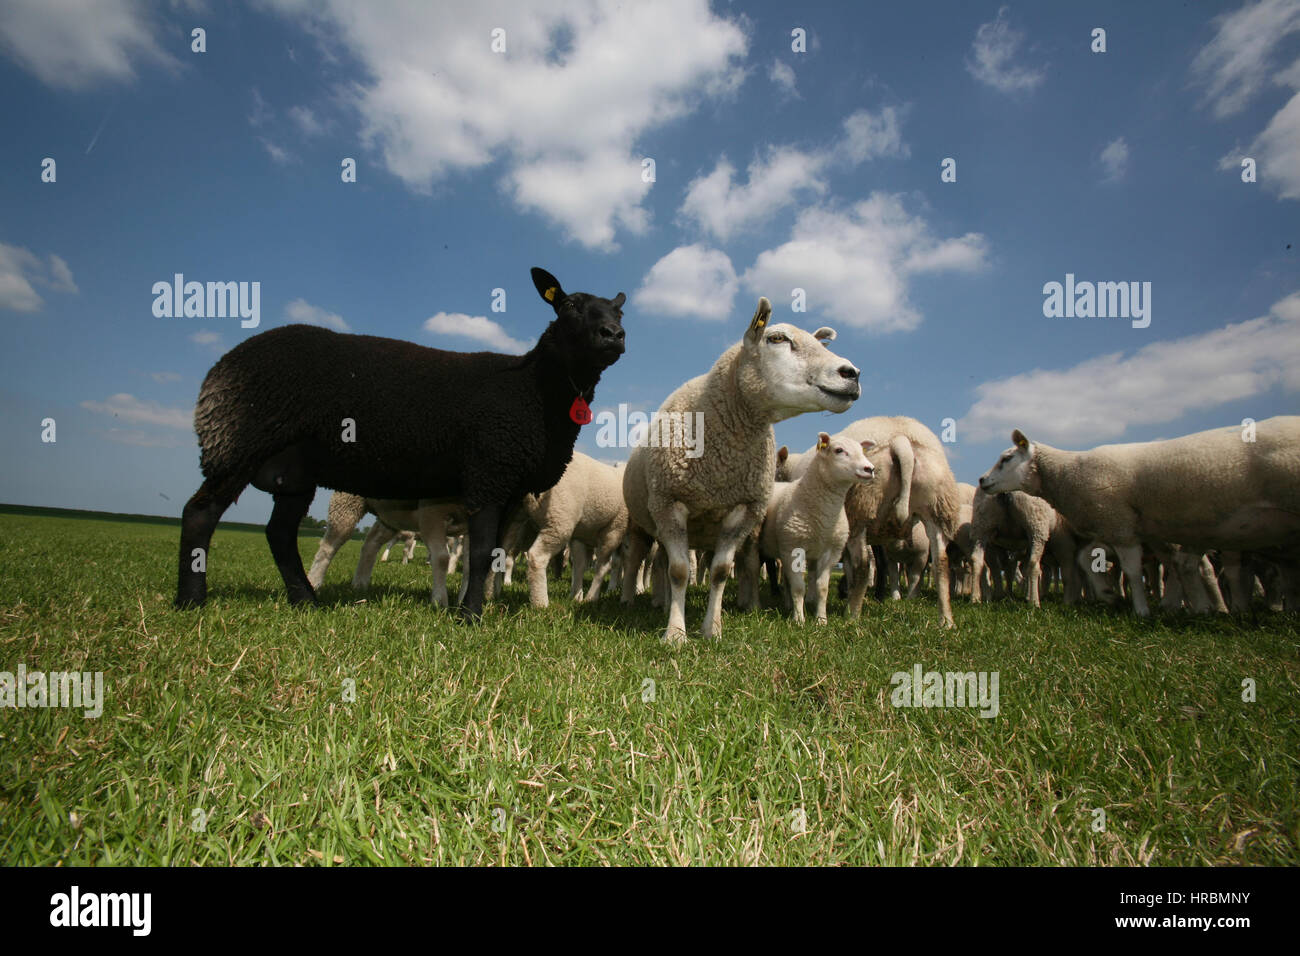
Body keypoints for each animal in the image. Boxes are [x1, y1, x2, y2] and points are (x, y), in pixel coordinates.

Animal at [175, 268, 625, 619]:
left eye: (619, 310)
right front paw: (470, 616)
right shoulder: (489, 471)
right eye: (570, 305)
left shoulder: (510, 489)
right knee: (199, 515)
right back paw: (191, 601)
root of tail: (222, 365)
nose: (614, 335)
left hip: (292, 472)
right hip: (237, 443)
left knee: (280, 534)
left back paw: (305, 601)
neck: (534, 387)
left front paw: (475, 604)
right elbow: (480, 553)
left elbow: (492, 554)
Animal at [739, 431, 874, 623]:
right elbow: (798, 586)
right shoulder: (793, 546)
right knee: (752, 571)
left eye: (862, 451)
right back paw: (754, 605)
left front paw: (821, 620)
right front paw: (799, 621)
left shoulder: (831, 552)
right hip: (754, 540)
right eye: (839, 450)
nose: (870, 469)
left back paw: (787, 605)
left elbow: (822, 588)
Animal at [978, 417, 1300, 616]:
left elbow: (1129, 570)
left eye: (1006, 458)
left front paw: (1139, 608)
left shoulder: (1120, 526)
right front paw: (1113, 596)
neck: (1068, 472)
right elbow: (1093, 564)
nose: (982, 479)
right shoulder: (1120, 528)